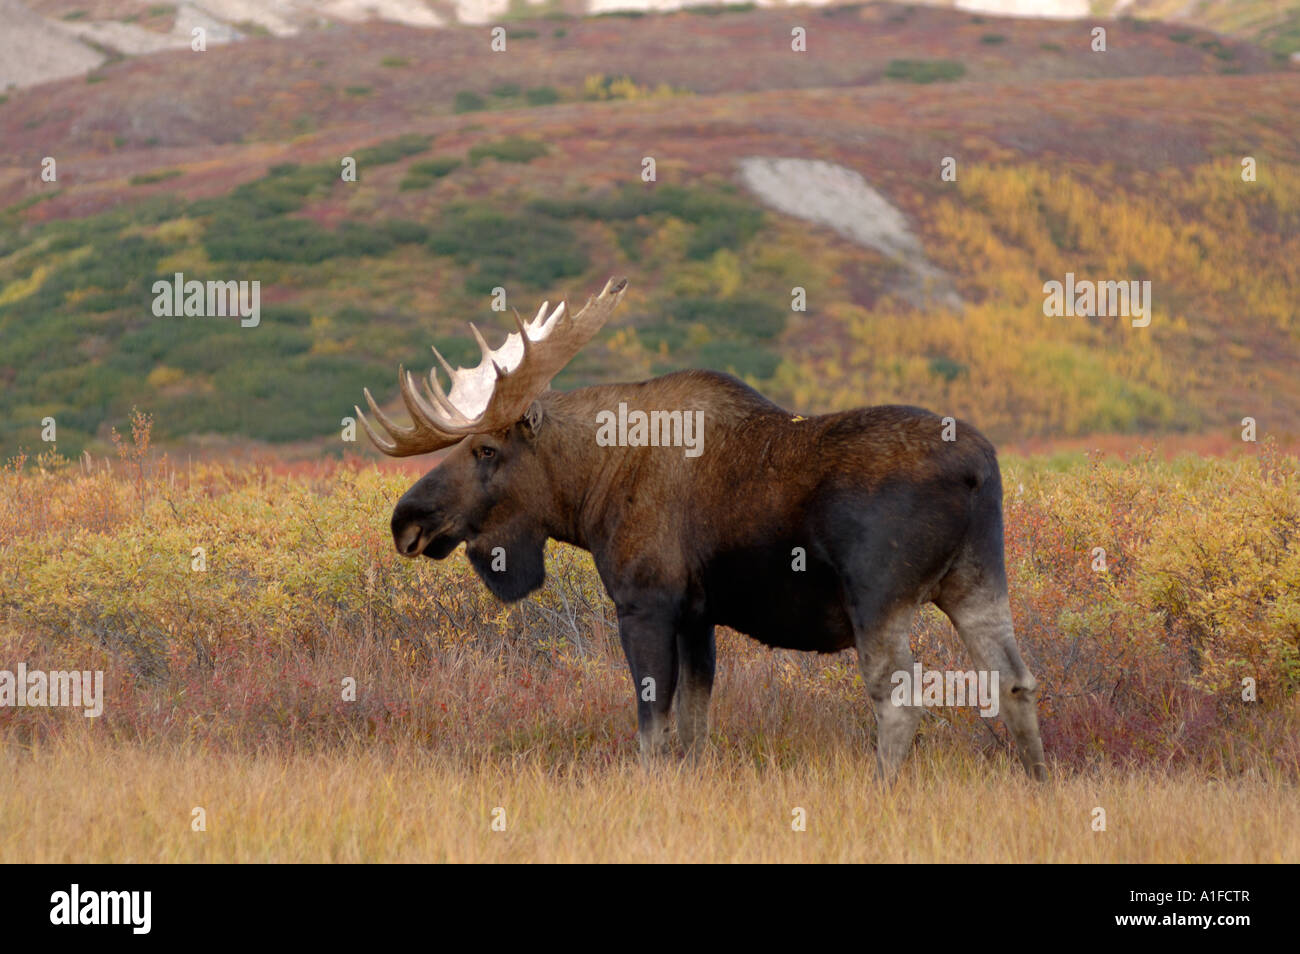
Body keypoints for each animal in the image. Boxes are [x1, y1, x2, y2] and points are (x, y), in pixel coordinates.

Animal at [357, 277, 1048, 781]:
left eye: (486, 450)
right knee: (1014, 681)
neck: (590, 491)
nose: (406, 521)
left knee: (899, 699)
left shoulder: (645, 602)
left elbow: (652, 730)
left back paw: (884, 791)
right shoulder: (698, 616)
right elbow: (695, 728)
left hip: (880, 597)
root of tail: (978, 470)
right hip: (977, 583)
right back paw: (1038, 786)